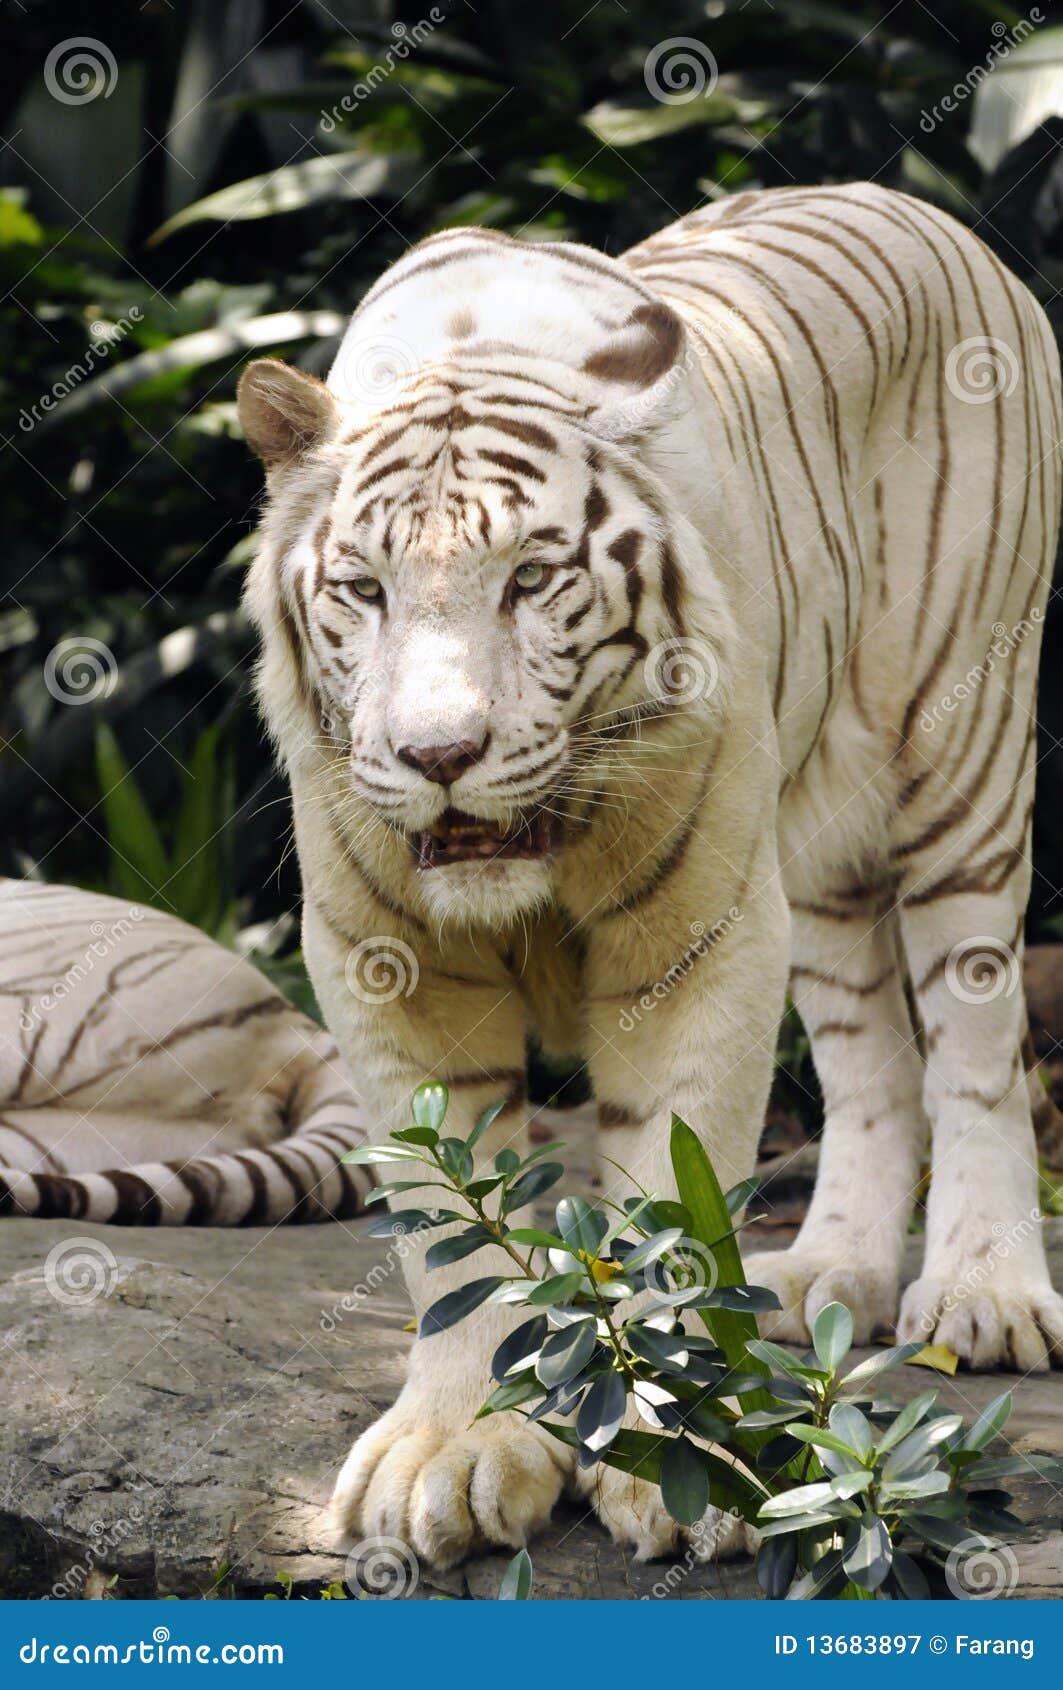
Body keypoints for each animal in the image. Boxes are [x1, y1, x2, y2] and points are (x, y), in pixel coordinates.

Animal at [235, 180, 1063, 1569]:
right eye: (363, 589)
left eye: (529, 579)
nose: (439, 755)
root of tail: (909, 205)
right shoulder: (383, 955)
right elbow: (448, 1229)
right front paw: (449, 1452)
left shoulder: (695, 933)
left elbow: (669, 1193)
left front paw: (671, 1458)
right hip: (816, 850)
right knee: (869, 1057)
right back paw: (824, 1279)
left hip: (960, 751)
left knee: (974, 1034)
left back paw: (983, 1291)